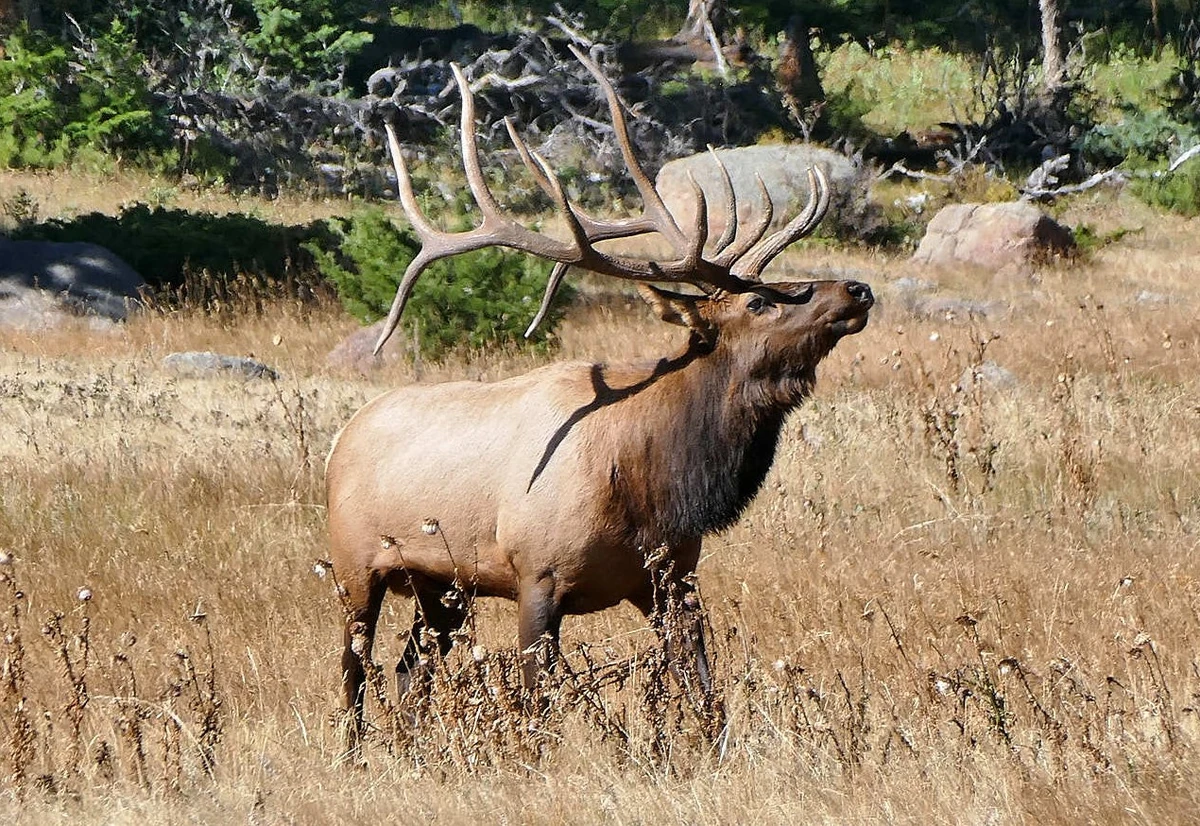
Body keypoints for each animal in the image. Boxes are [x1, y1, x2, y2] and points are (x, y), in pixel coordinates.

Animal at [327, 45, 874, 745]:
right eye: (759, 302)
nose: (858, 290)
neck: (655, 485)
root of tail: (342, 438)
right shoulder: (535, 574)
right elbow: (537, 702)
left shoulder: (670, 576)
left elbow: (703, 685)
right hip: (355, 565)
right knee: (352, 674)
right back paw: (353, 752)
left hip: (439, 586)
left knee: (407, 670)